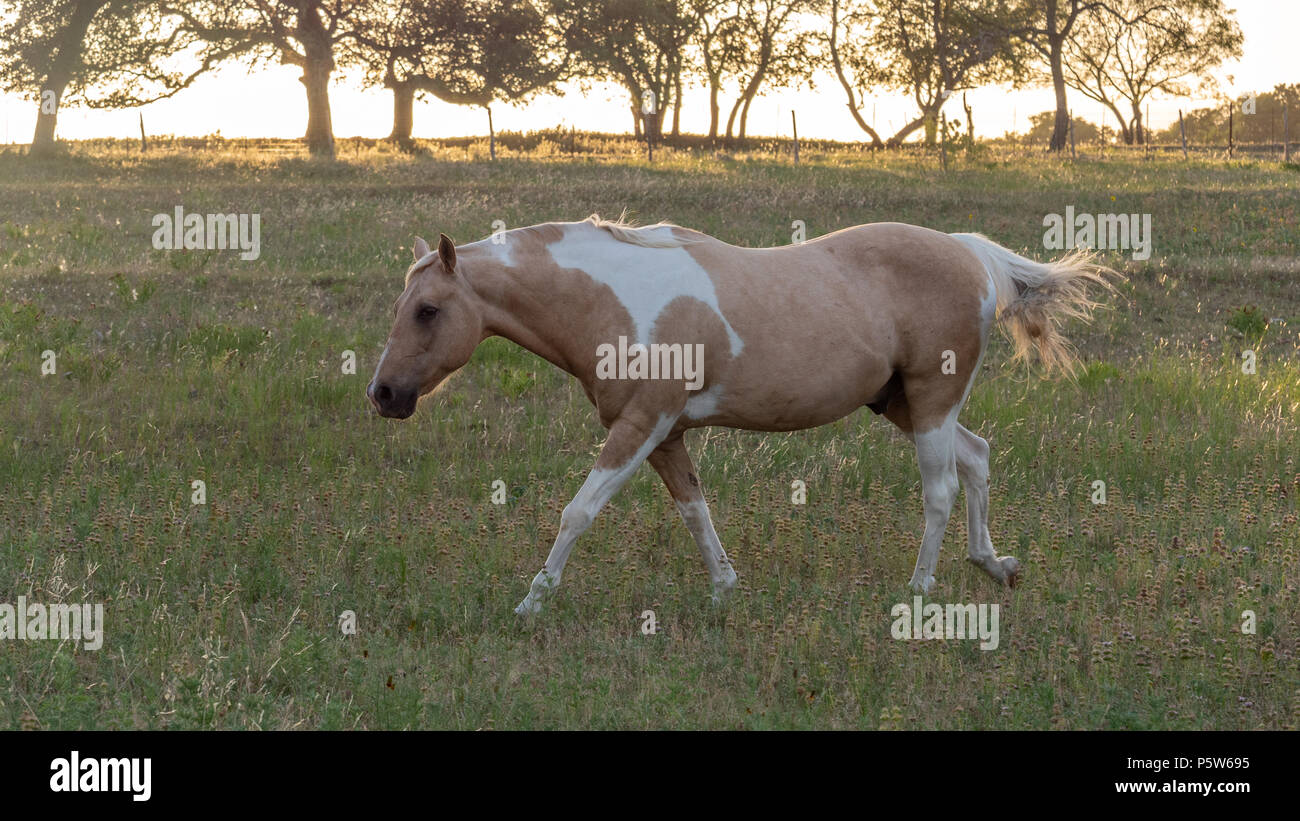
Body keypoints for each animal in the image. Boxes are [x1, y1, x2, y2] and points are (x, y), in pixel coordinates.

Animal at [367, 216, 1113, 615]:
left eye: (428, 310)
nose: (383, 394)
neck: (615, 298)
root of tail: (969, 251)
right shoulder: (666, 435)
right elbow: (695, 512)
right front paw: (726, 589)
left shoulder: (639, 426)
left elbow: (578, 512)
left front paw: (530, 602)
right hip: (902, 403)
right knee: (978, 457)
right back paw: (995, 564)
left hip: (929, 399)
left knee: (941, 489)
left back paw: (919, 590)